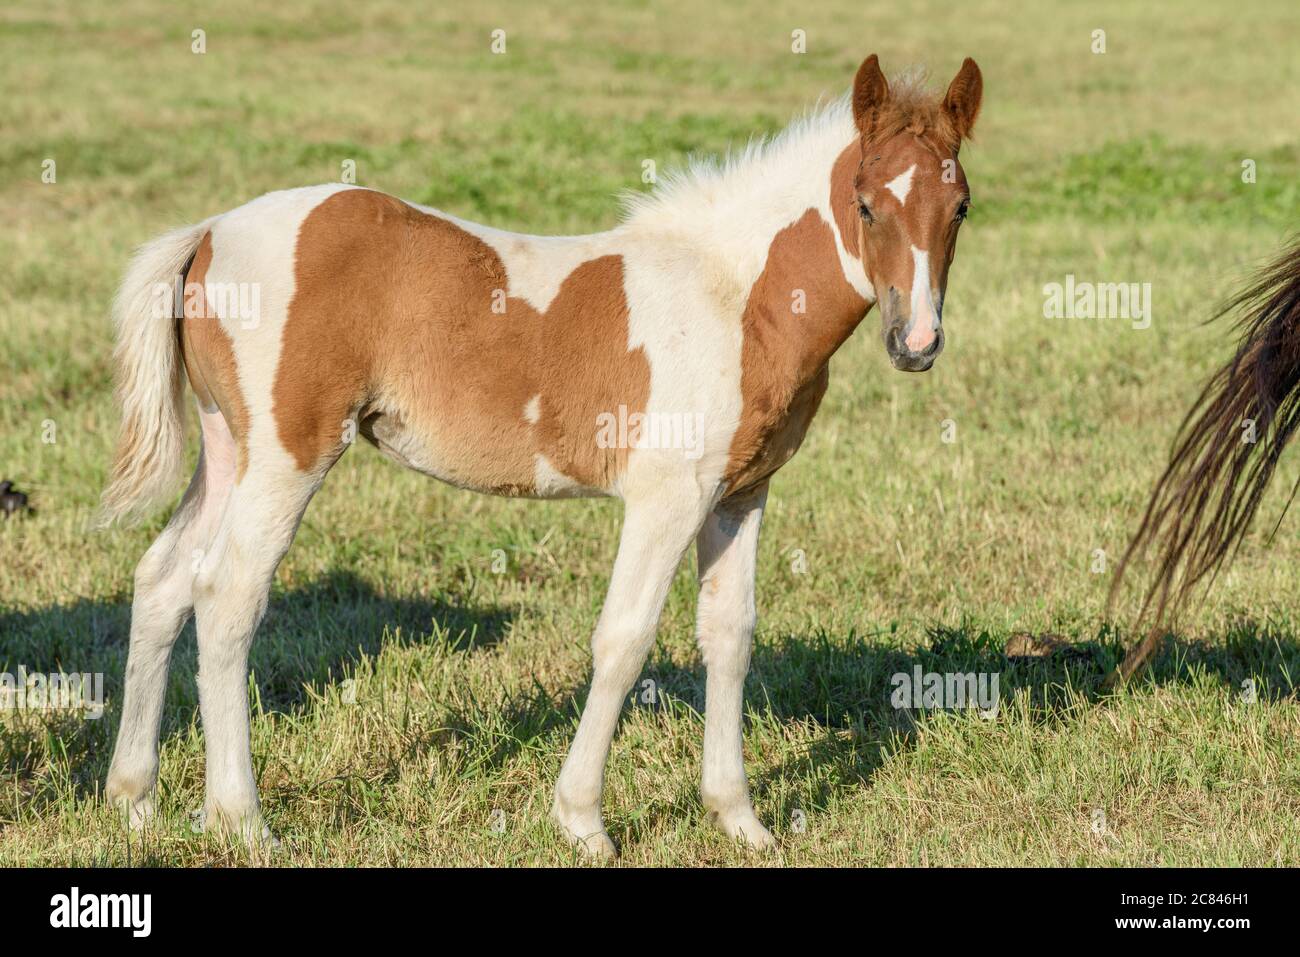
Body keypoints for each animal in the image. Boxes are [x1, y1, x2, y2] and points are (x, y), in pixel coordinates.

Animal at [99, 53, 983, 857]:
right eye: (865, 203)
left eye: (962, 207)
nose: (916, 342)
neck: (735, 297)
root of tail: (207, 234)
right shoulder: (667, 496)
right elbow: (624, 640)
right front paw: (583, 820)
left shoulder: (739, 495)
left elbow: (730, 637)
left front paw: (740, 819)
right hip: (288, 454)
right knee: (227, 594)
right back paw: (242, 819)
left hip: (228, 449)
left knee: (163, 580)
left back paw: (135, 799)